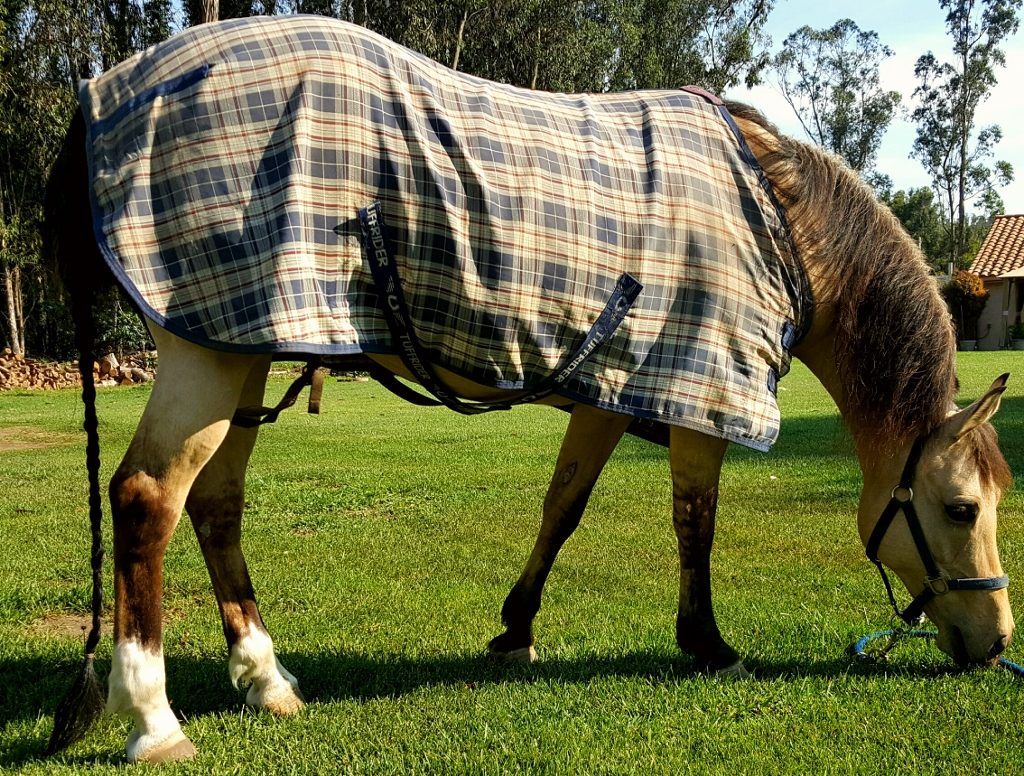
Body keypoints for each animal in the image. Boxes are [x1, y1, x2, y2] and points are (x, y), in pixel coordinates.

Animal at [45, 16, 1013, 764]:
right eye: (961, 508)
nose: (998, 641)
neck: (779, 222)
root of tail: (104, 94)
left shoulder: (615, 392)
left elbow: (563, 505)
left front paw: (516, 628)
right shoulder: (702, 393)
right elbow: (694, 521)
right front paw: (707, 643)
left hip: (243, 341)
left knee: (215, 503)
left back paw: (266, 679)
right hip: (207, 356)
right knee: (146, 499)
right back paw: (155, 719)